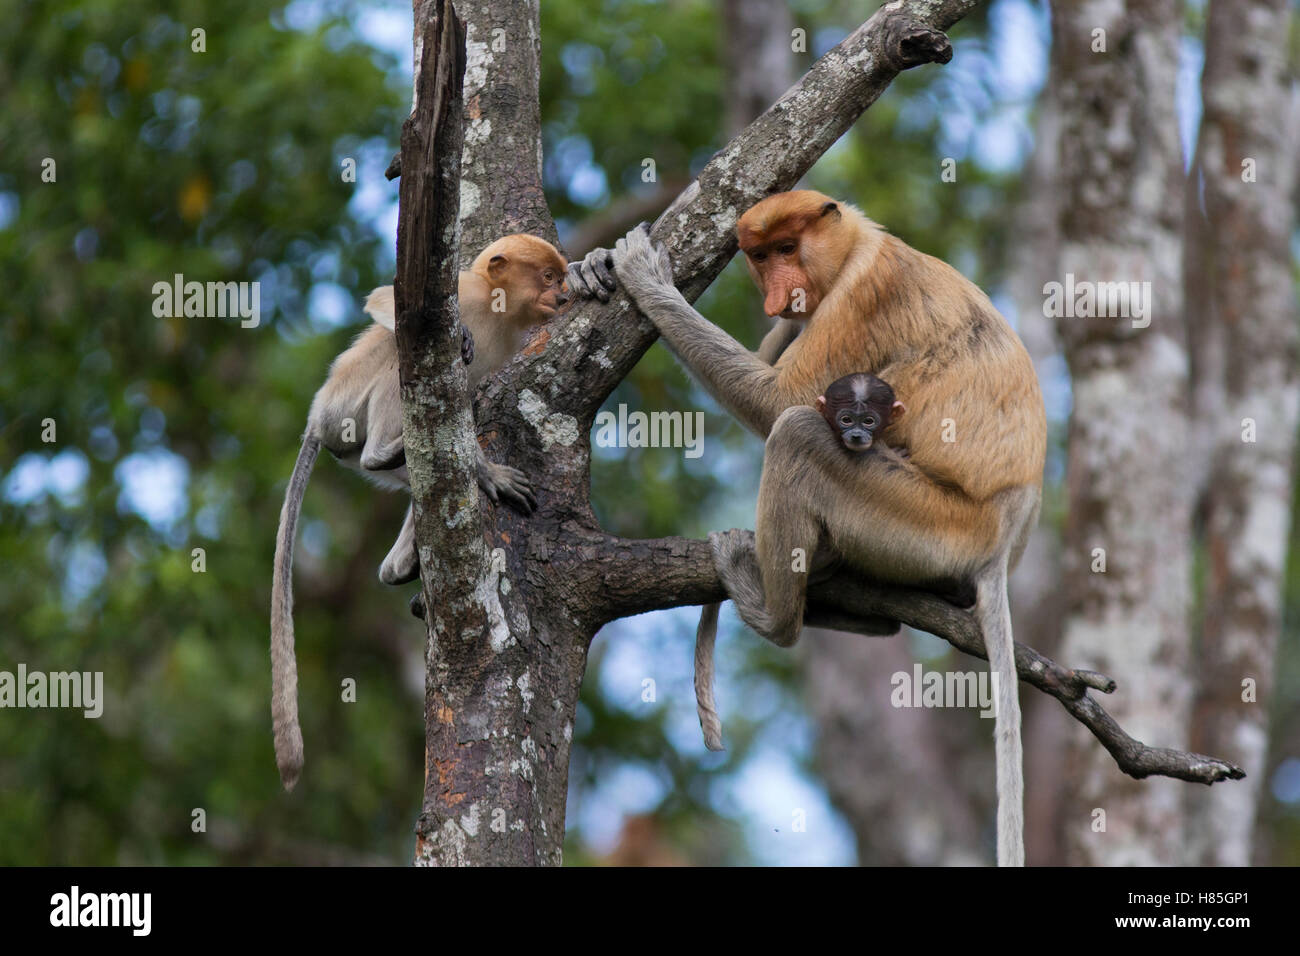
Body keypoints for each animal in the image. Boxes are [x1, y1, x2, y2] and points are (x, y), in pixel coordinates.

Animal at [271, 233, 598, 791]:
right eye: (547, 277)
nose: (560, 294)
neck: (499, 313)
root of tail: (316, 419)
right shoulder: (465, 293)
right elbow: (387, 302)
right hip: (347, 409)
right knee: (399, 355)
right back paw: (384, 452)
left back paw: (401, 563)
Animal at [604, 192, 1046, 866]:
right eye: (760, 256)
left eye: (789, 248)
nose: (778, 291)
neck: (854, 248)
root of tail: (1003, 536)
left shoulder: (865, 294)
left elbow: (778, 399)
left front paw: (644, 275)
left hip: (932, 519)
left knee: (797, 434)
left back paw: (774, 616)